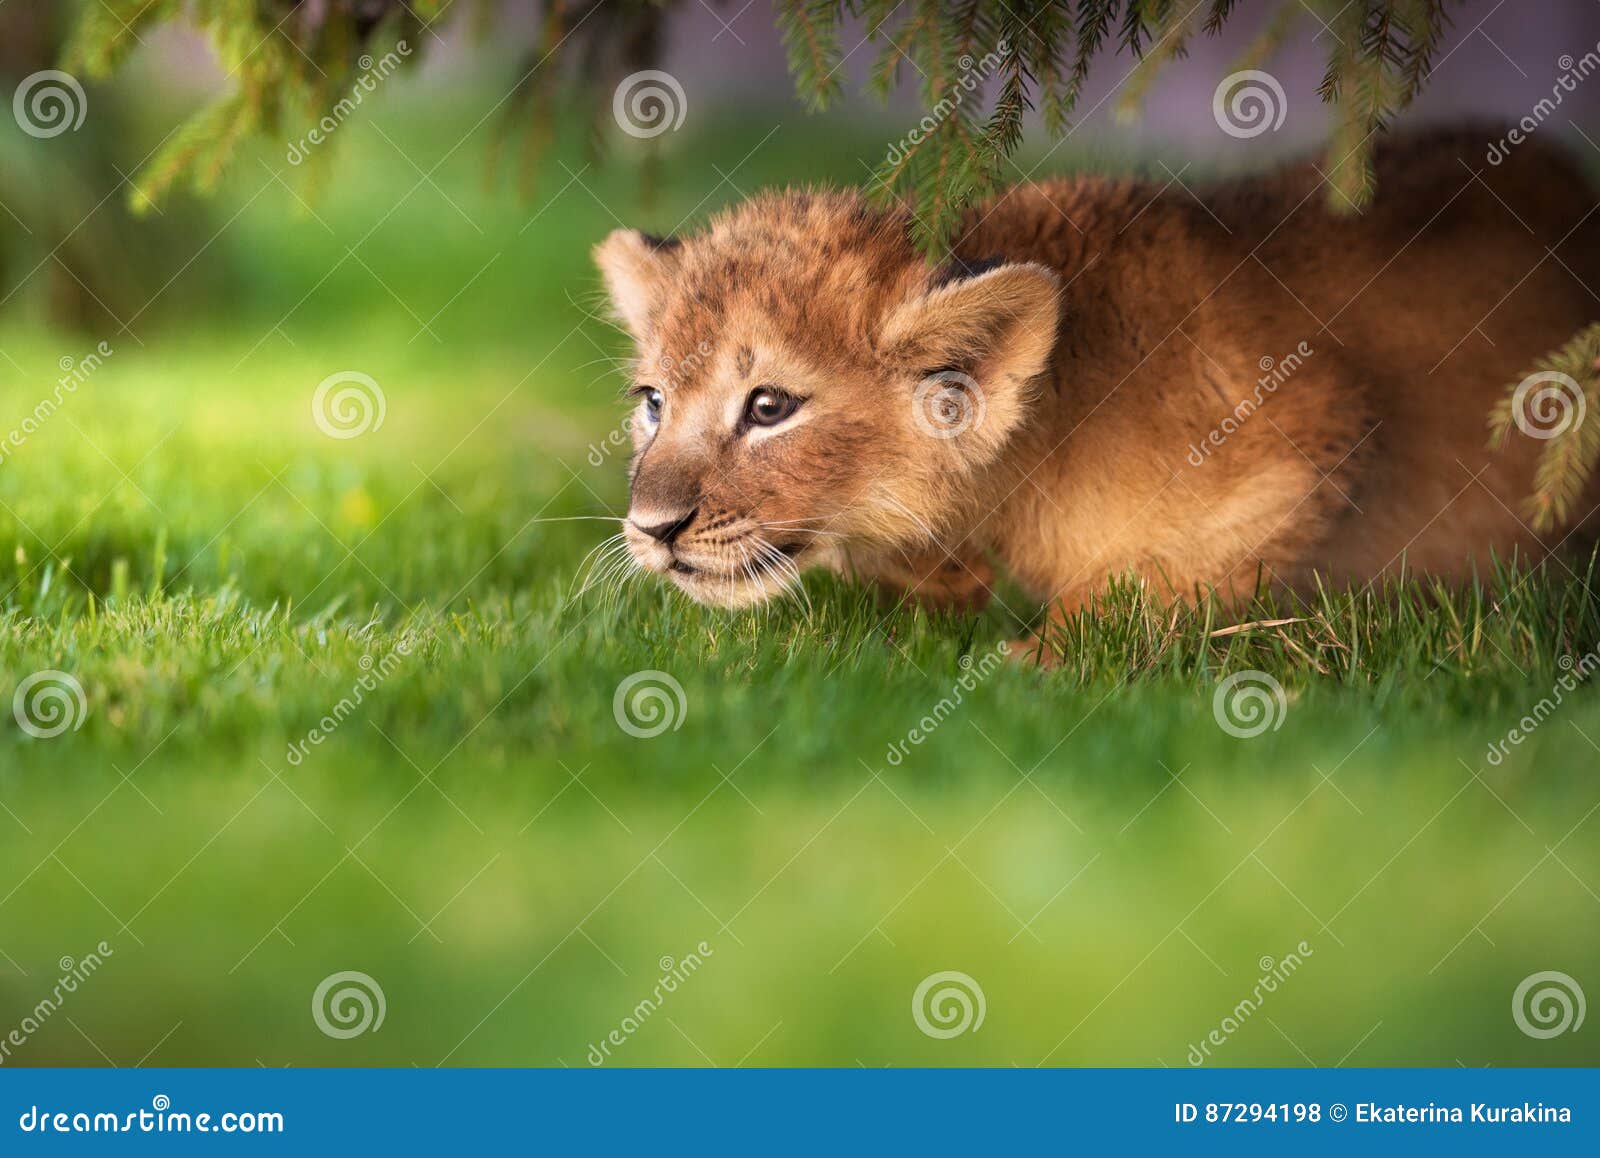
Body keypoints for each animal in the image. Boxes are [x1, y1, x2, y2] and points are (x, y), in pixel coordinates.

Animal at [594, 127, 1600, 660]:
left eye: (769, 407)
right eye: (653, 403)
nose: (650, 529)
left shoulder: (1309, 431)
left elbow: (1144, 586)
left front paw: (1024, 662)